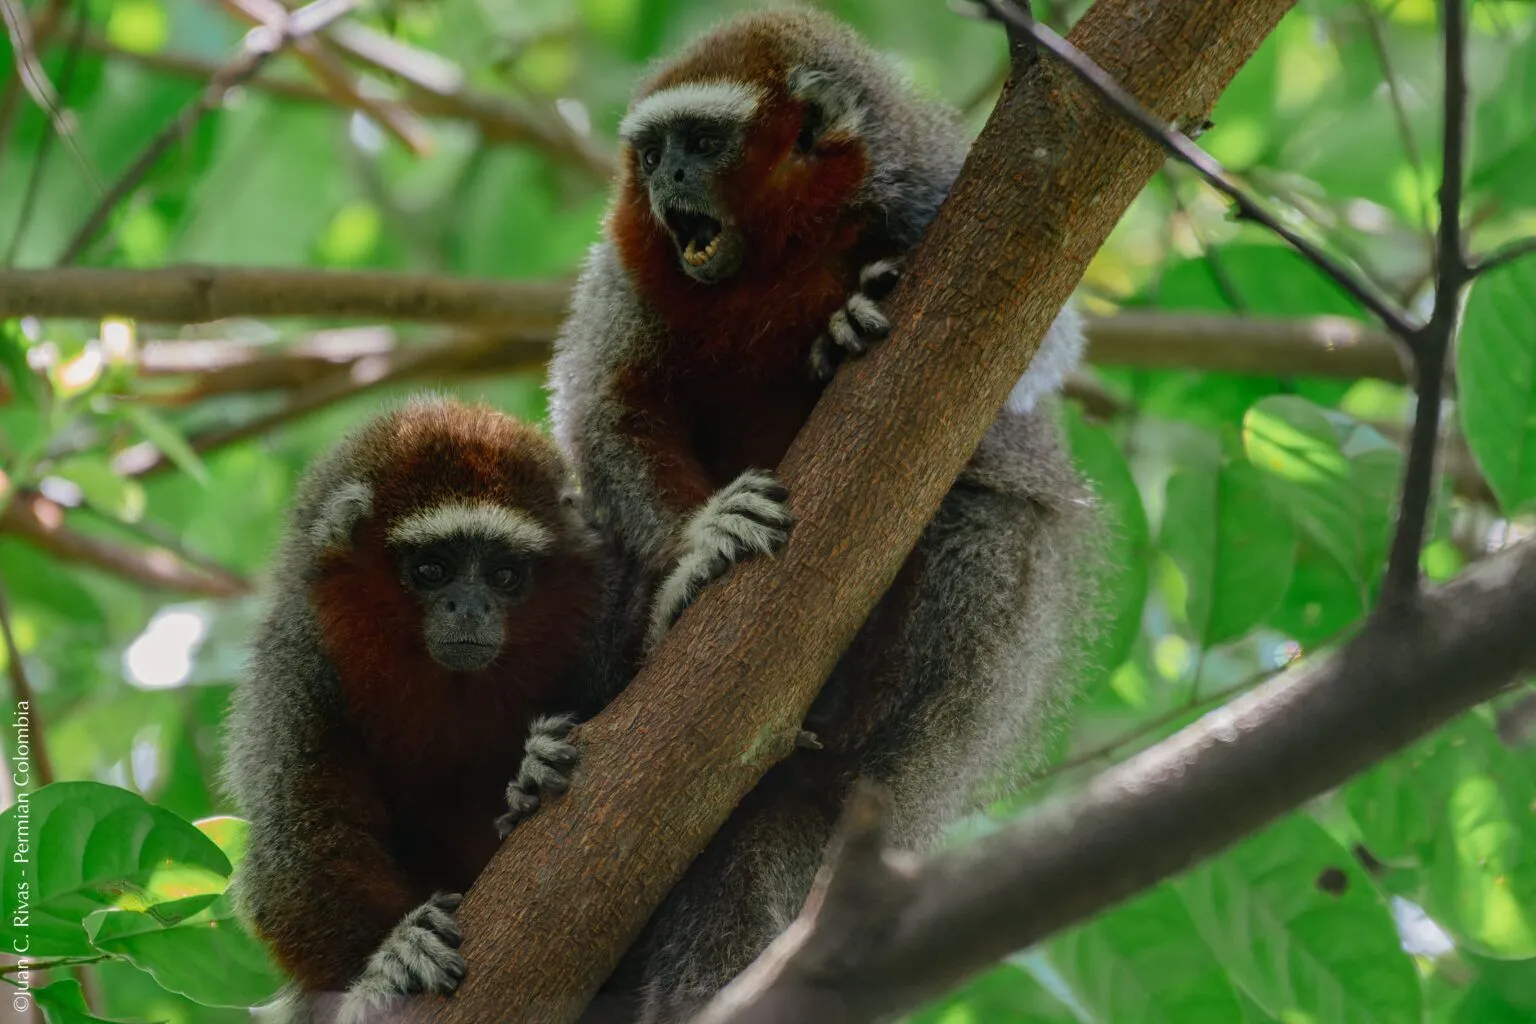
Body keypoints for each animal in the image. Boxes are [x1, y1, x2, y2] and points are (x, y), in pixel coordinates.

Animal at [223, 397, 643, 1024]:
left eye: (503, 575)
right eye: (432, 569)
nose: (469, 607)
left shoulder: (592, 606)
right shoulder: (300, 659)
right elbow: (295, 841)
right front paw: (391, 958)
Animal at [547, 10, 1099, 1021]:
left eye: (701, 144)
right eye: (650, 153)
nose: (665, 183)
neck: (774, 262)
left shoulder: (929, 198)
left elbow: (1037, 348)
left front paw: (842, 327)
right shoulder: (625, 278)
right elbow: (603, 405)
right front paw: (699, 549)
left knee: (990, 513)